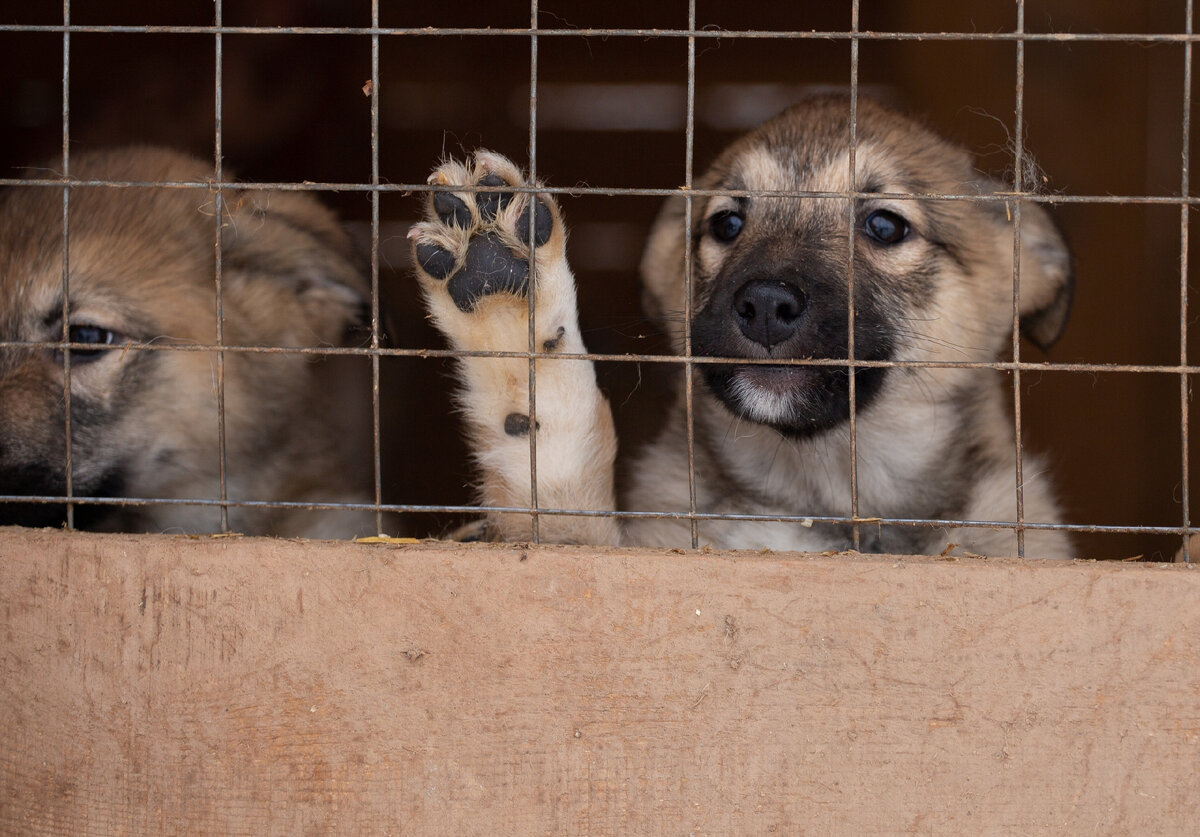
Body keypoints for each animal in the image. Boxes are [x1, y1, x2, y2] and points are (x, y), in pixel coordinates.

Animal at [408, 92, 1075, 554]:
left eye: (885, 226)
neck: (827, 503)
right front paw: (507, 306)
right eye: (727, 224)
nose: (766, 306)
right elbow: (547, 465)